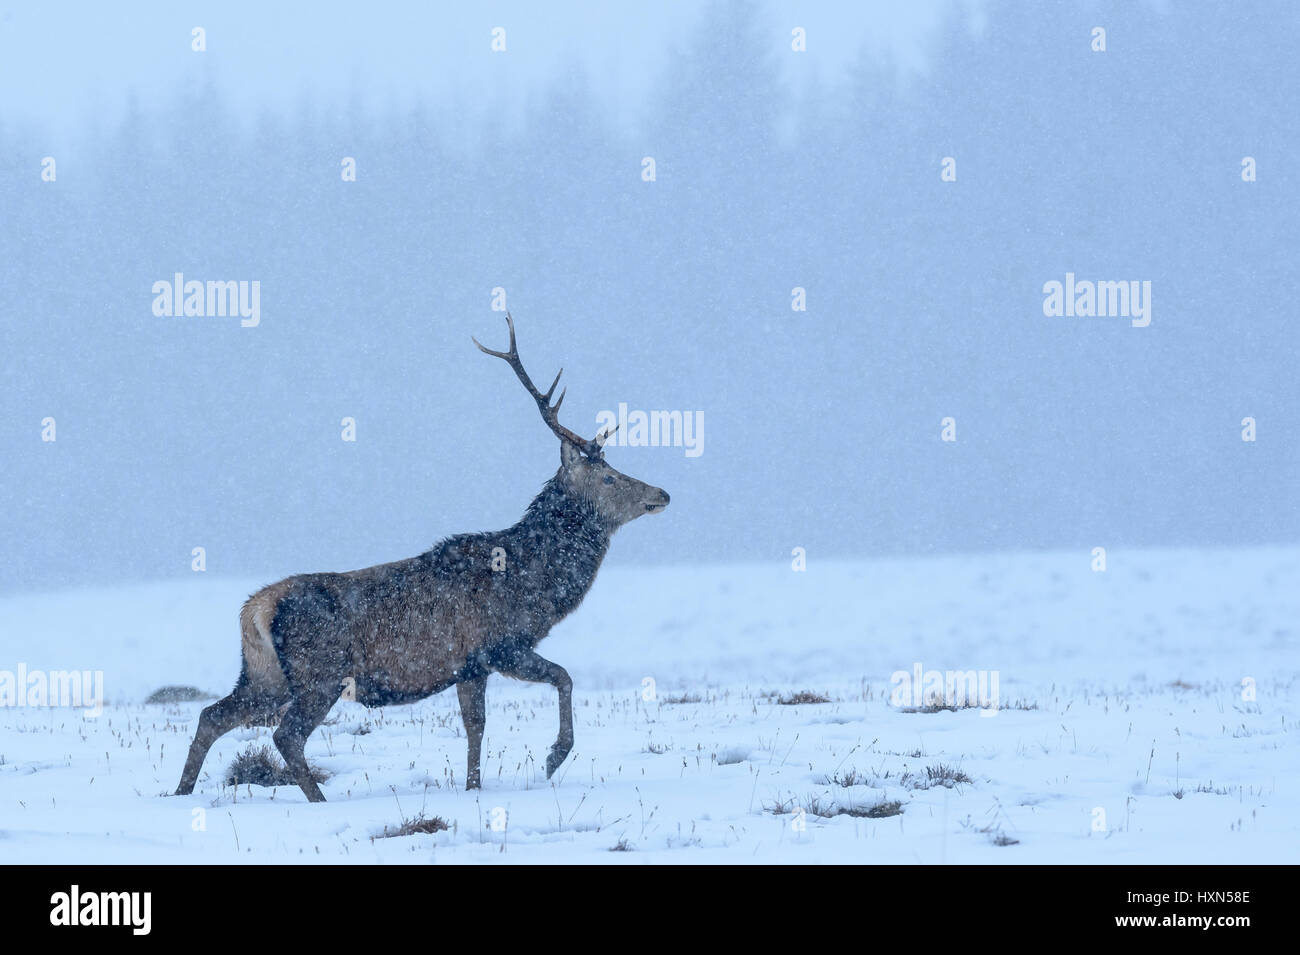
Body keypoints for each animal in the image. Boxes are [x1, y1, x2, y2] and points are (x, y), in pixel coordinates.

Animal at [174, 314, 670, 802]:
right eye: (608, 477)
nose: (662, 493)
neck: (535, 585)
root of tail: (255, 609)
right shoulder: (500, 644)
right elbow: (564, 677)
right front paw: (553, 758)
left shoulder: (470, 665)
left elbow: (476, 726)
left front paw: (473, 789)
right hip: (320, 672)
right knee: (286, 734)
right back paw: (317, 801)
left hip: (265, 674)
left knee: (213, 715)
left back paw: (180, 792)